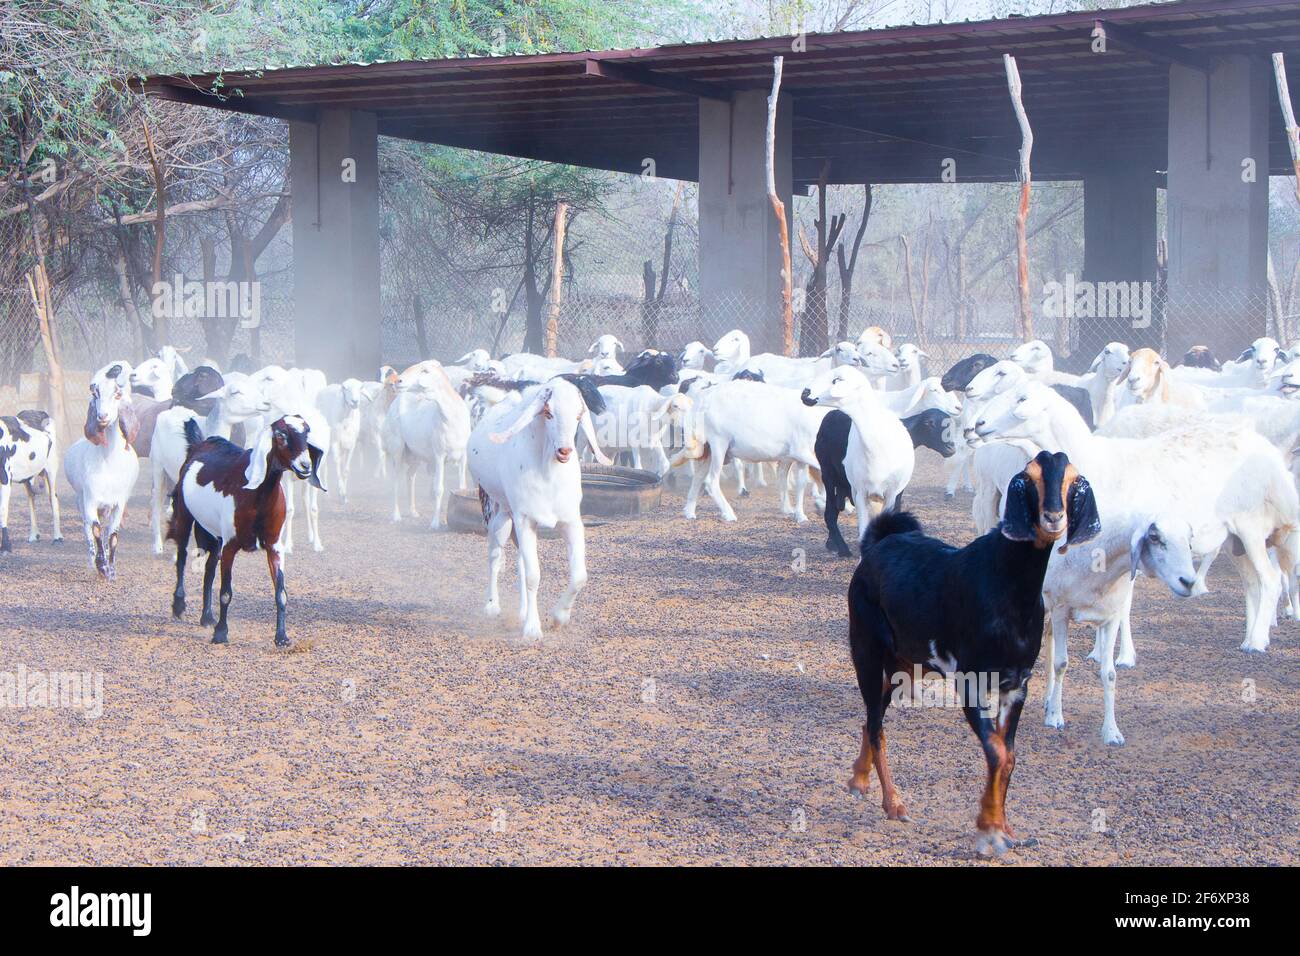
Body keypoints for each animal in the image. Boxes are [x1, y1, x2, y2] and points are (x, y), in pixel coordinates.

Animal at [0, 410, 62, 551]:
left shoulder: (5, 479)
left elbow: (3, 511)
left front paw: (5, 546)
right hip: (27, 477)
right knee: (31, 498)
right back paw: (34, 535)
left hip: (51, 469)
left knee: (53, 498)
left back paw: (58, 537)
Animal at [64, 362, 142, 579]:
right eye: (95, 392)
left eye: (117, 393)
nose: (103, 416)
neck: (109, 463)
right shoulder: (90, 499)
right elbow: (96, 530)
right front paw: (101, 566)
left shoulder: (119, 503)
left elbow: (113, 535)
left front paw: (112, 569)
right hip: (80, 499)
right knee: (87, 528)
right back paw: (92, 559)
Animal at [168, 415, 324, 646]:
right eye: (281, 435)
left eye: (307, 432)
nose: (305, 466)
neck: (256, 495)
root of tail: (199, 445)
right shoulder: (231, 545)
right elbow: (226, 592)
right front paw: (221, 633)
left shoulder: (274, 545)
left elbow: (281, 592)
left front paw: (282, 637)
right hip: (185, 515)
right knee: (181, 557)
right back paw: (179, 606)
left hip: (215, 535)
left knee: (209, 570)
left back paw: (207, 617)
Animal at [469, 378, 610, 640]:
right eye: (549, 413)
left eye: (578, 415)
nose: (565, 451)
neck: (549, 475)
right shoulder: (525, 519)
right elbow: (533, 575)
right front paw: (533, 629)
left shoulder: (571, 522)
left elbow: (579, 576)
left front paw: (559, 617)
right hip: (498, 513)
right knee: (495, 555)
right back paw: (492, 605)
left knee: (519, 564)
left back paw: (523, 611)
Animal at [847, 451, 1099, 855]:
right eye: (1028, 479)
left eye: (1073, 480)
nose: (1053, 518)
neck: (1006, 584)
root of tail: (879, 544)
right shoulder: (971, 682)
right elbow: (996, 751)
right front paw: (990, 831)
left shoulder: (1017, 685)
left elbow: (1008, 755)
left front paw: (1003, 827)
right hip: (866, 649)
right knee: (875, 722)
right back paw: (893, 802)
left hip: (909, 664)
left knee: (876, 714)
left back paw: (859, 778)